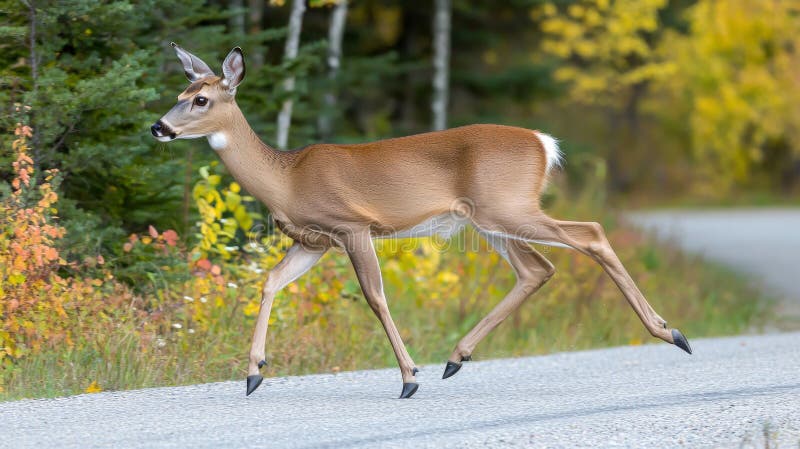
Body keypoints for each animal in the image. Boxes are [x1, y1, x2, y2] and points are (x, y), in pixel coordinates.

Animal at [151, 44, 692, 399]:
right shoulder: (313, 241)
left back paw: (671, 332)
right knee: (538, 269)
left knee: (590, 234)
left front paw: (409, 377)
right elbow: (269, 282)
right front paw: (254, 372)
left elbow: (375, 298)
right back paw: (456, 359)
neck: (286, 178)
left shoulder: (352, 227)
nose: (158, 127)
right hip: (490, 221)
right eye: (180, 90)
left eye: (201, 99)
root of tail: (544, 142)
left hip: (507, 208)